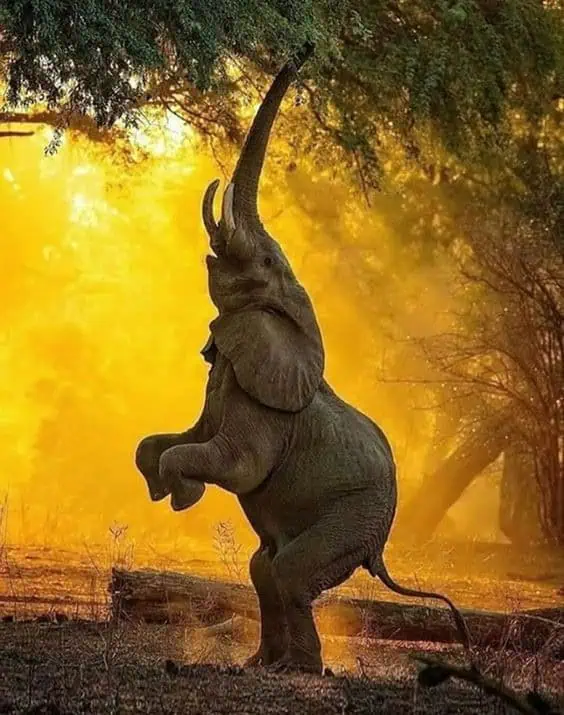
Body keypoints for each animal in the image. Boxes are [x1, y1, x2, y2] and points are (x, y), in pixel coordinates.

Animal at [135, 44, 470, 674]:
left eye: (267, 261)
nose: (308, 48)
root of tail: (380, 549)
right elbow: (169, 440)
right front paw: (163, 488)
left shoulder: (266, 411)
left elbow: (237, 463)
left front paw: (183, 494)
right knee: (263, 567)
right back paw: (261, 665)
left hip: (356, 513)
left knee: (288, 570)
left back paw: (300, 671)